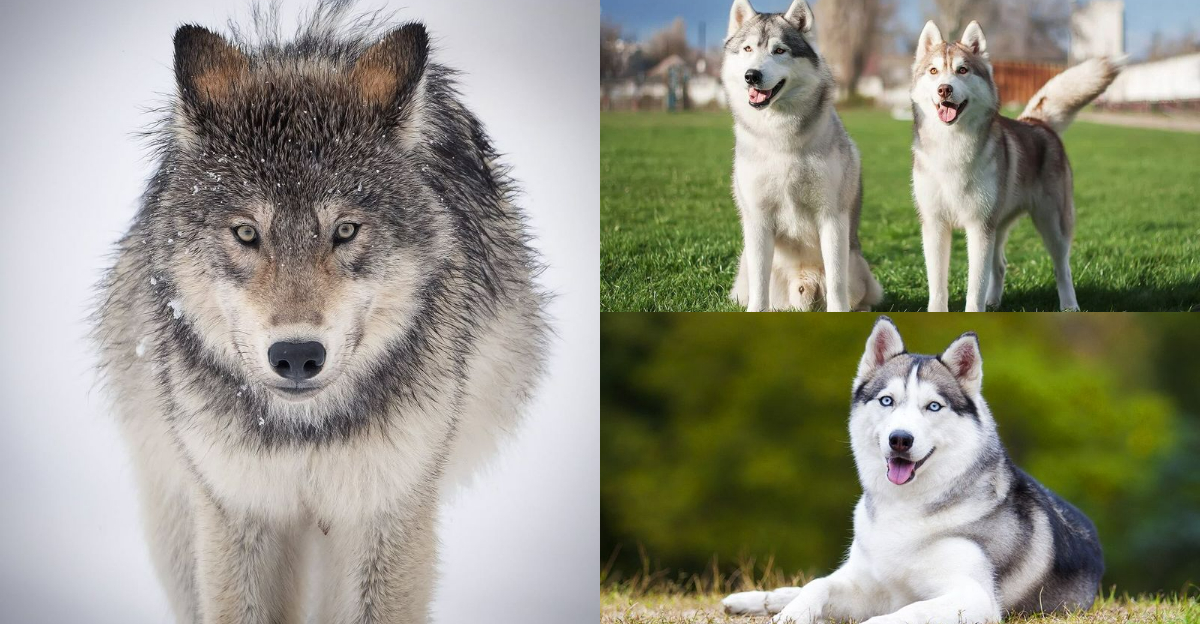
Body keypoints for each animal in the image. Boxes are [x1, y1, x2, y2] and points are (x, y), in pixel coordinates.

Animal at [93, 3, 547, 622]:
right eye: (246, 233)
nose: (296, 356)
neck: (305, 434)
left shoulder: (387, 514)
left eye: (345, 230)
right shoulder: (236, 511)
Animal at [723, 0, 883, 312]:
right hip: (744, 272)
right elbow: (760, 285)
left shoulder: (832, 216)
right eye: (747, 49)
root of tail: (805, 281)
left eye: (779, 50)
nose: (752, 75)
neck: (781, 140)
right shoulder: (758, 219)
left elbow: (836, 281)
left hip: (859, 269)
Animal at [723, 316, 1104, 624]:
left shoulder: (973, 596)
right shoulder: (871, 586)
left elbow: (905, 612)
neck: (904, 508)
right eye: (887, 401)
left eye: (933, 406)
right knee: (809, 583)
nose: (900, 440)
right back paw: (752, 599)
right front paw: (790, 613)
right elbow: (818, 586)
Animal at [910, 20, 1121, 312]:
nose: (944, 89)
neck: (951, 147)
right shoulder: (935, 225)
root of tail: (1036, 121)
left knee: (1062, 267)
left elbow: (975, 288)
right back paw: (994, 301)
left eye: (962, 70)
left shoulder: (979, 226)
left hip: (1051, 222)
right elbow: (938, 288)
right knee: (1000, 265)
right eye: (933, 71)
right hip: (999, 224)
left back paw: (1068, 304)